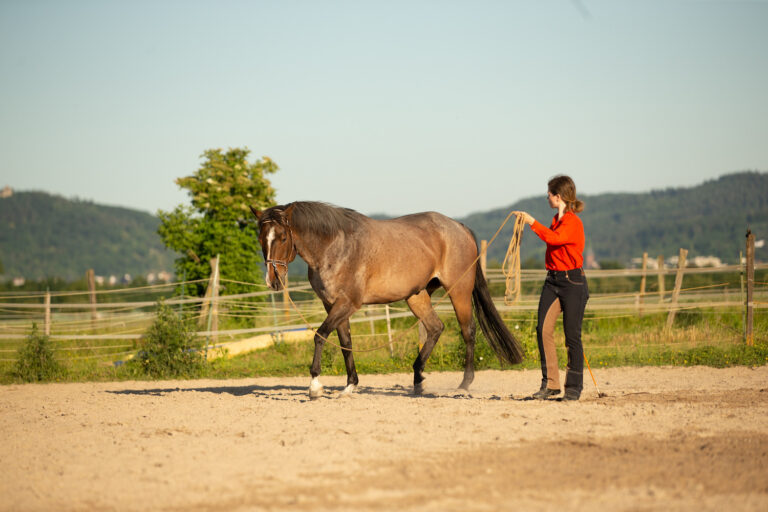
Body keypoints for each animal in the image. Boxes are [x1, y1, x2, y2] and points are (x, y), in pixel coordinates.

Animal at [250, 201, 523, 398]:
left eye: (283, 237)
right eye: (261, 238)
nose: (273, 281)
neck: (335, 247)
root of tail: (459, 226)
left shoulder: (347, 303)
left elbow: (320, 336)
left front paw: (315, 386)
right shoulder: (332, 304)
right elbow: (345, 343)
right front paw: (350, 385)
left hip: (459, 291)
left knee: (468, 331)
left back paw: (464, 384)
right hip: (417, 296)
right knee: (435, 328)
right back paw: (417, 381)